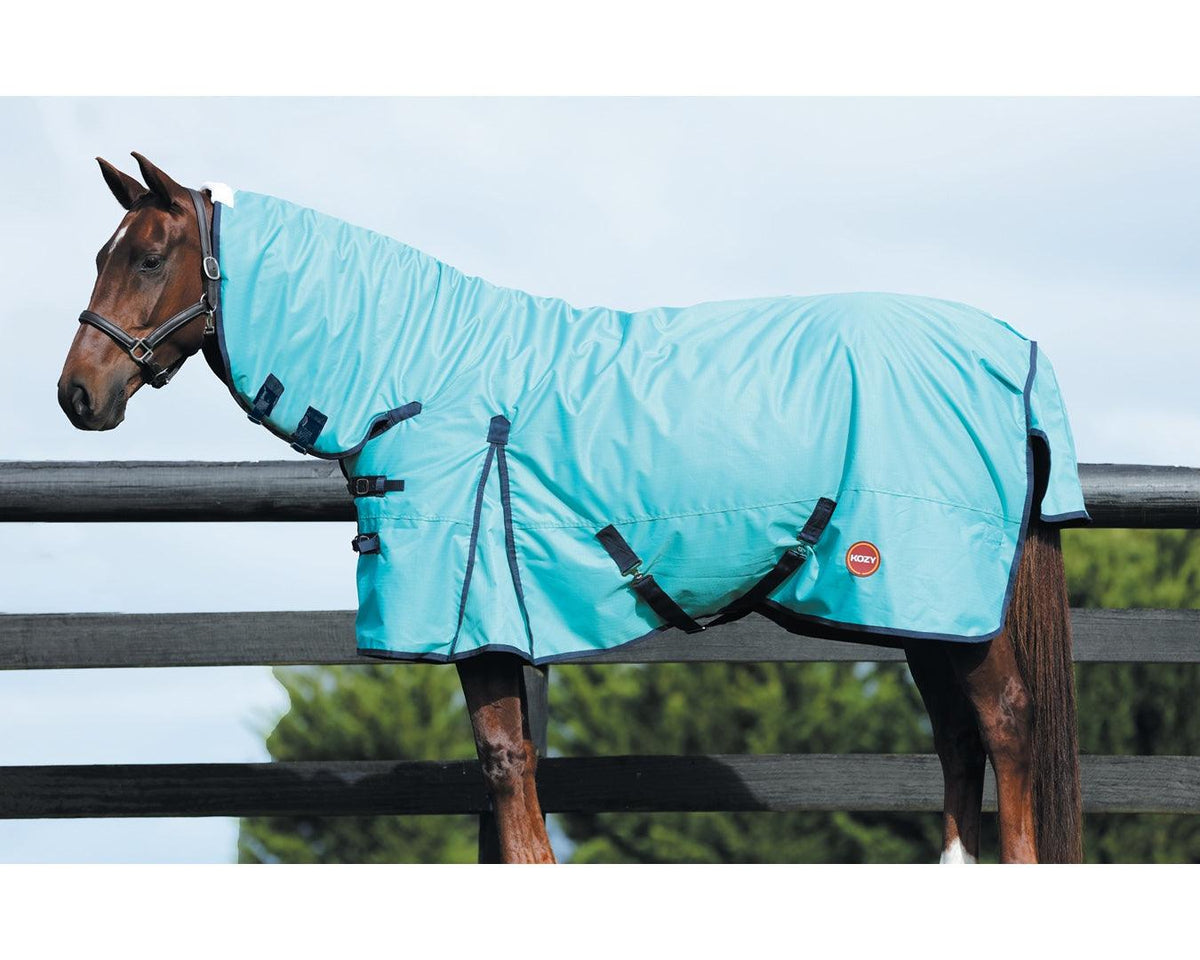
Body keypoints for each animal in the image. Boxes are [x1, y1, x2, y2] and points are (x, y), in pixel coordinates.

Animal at [58, 153, 1082, 864]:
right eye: (101, 255)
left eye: (148, 257)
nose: (78, 394)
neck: (424, 374)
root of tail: (1012, 349)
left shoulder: (478, 619)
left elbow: (507, 769)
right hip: (921, 613)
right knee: (955, 737)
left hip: (943, 599)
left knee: (1003, 725)